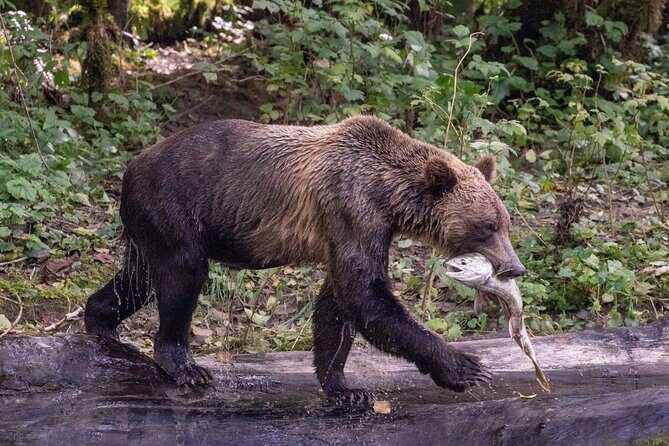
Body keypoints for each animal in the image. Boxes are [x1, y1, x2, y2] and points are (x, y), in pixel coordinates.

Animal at [84, 115, 526, 404]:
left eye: (506, 223)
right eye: (488, 226)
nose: (515, 267)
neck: (387, 194)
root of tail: (130, 167)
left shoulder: (354, 230)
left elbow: (339, 304)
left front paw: (344, 386)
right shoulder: (350, 208)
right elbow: (366, 296)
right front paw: (466, 366)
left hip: (151, 225)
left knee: (139, 278)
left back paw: (100, 323)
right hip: (174, 207)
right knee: (182, 273)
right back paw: (185, 366)